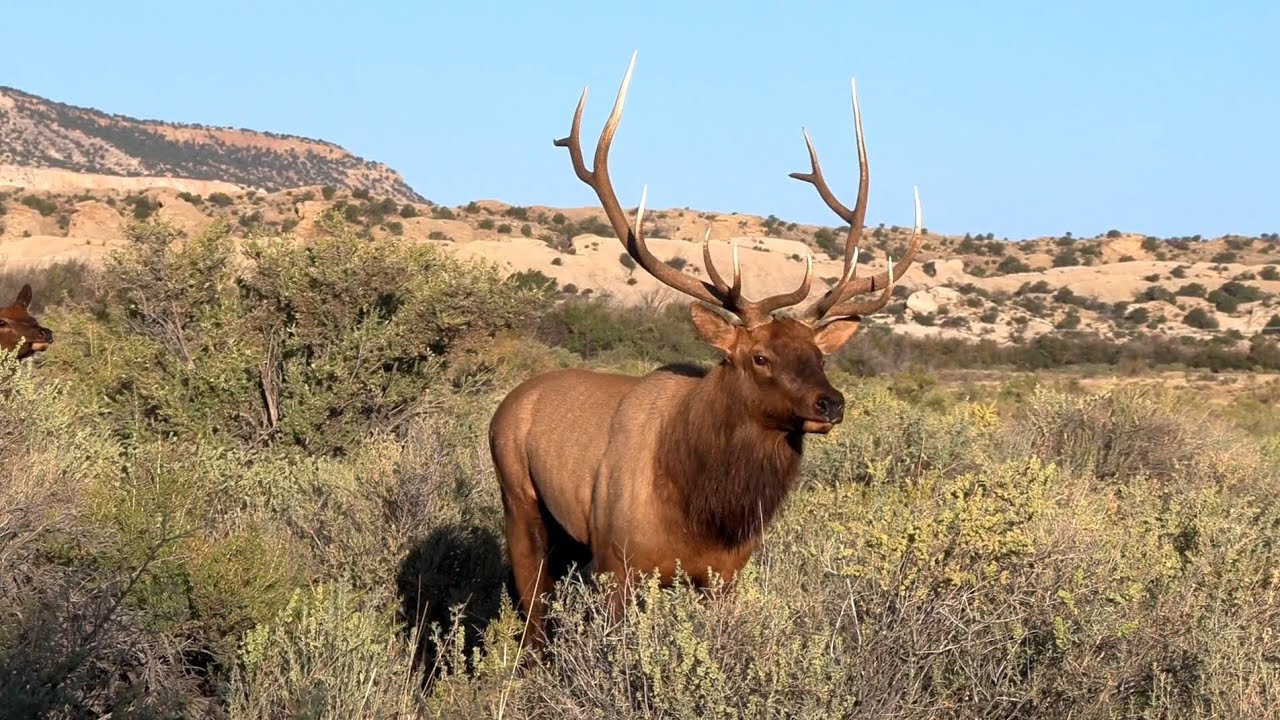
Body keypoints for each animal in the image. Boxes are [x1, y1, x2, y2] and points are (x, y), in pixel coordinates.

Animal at [489, 53, 923, 649]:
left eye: (820, 355)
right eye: (759, 357)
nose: (831, 403)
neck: (701, 510)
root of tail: (507, 403)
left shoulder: (725, 574)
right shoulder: (617, 564)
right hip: (521, 500)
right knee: (532, 612)